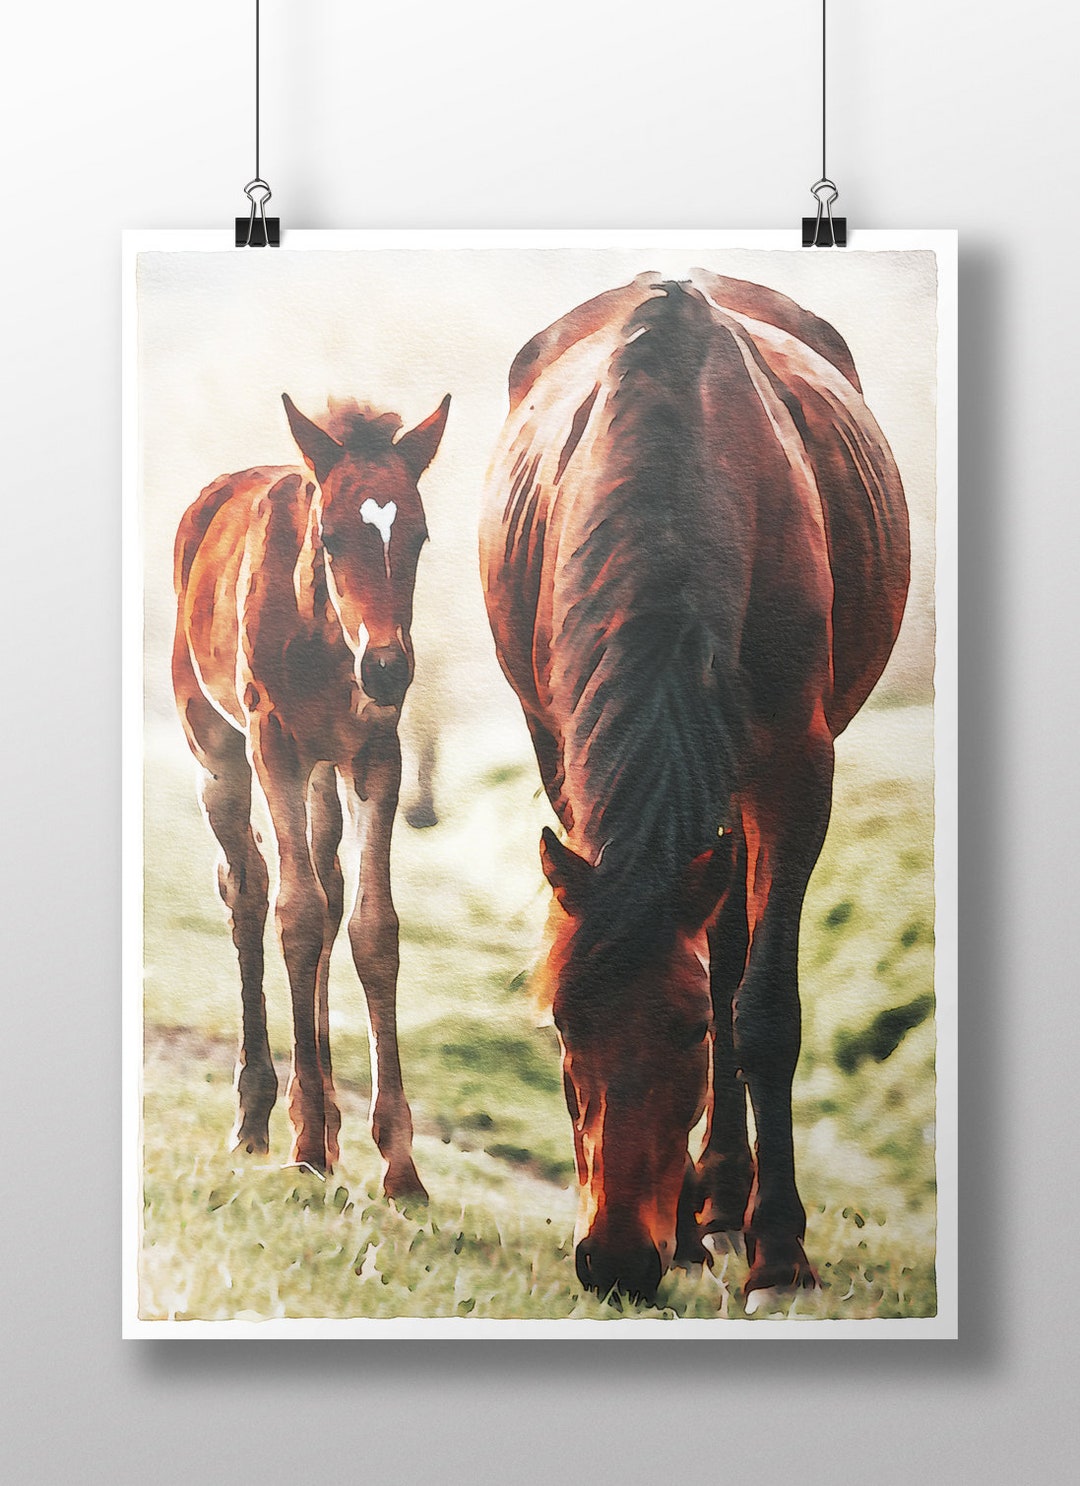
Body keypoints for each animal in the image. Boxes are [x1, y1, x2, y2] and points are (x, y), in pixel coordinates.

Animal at [172, 390, 450, 1196]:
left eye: (419, 536)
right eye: (330, 538)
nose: (388, 669)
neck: (327, 640)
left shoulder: (376, 756)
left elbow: (372, 927)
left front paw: (400, 1166)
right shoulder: (276, 746)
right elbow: (294, 913)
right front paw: (304, 1148)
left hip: (326, 772)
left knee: (327, 885)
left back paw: (320, 1114)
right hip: (218, 751)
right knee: (249, 887)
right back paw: (262, 1116)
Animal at [480, 271, 909, 1307]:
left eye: (681, 1036)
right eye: (565, 1024)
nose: (616, 1262)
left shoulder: (797, 767)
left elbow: (760, 1010)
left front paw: (780, 1254)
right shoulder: (564, 752)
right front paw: (687, 1226)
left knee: (734, 951)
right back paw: (708, 1203)